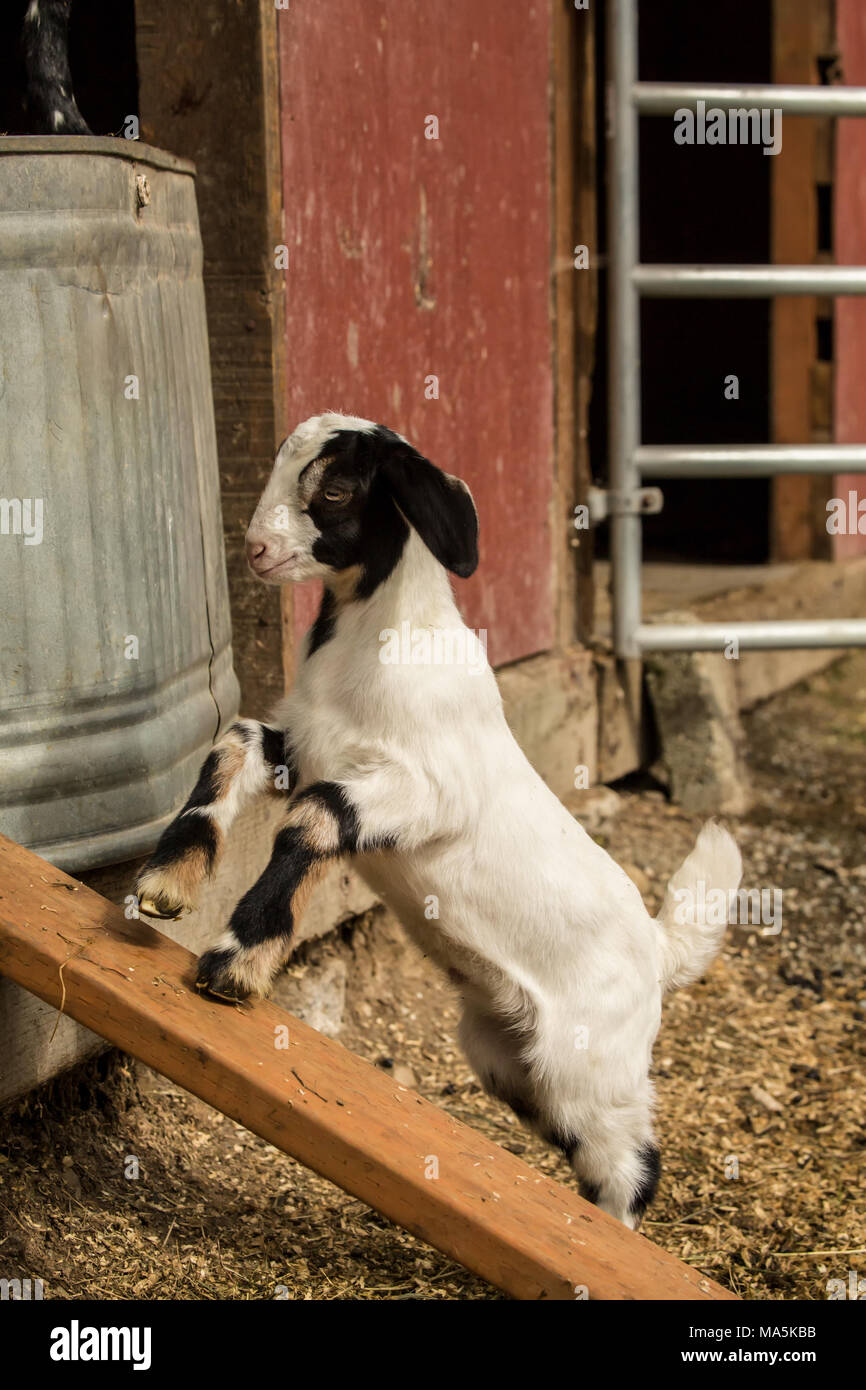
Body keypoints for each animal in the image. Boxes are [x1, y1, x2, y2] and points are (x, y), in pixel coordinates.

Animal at [134, 413, 742, 1228]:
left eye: (335, 489)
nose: (257, 550)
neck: (375, 646)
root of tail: (658, 946)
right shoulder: (307, 748)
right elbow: (231, 745)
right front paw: (167, 884)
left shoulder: (426, 791)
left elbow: (317, 820)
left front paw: (235, 963)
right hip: (508, 1059)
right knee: (581, 1143)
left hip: (594, 1065)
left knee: (631, 1163)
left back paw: (609, 1239)